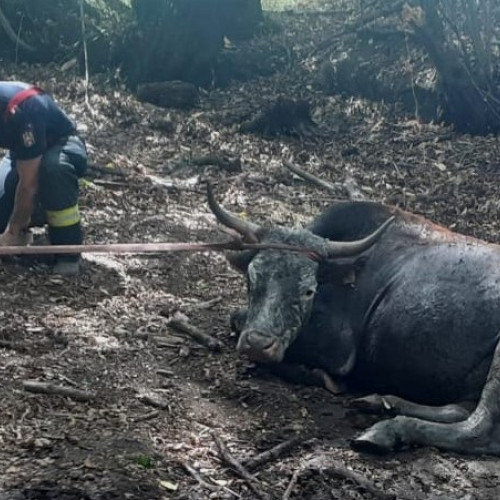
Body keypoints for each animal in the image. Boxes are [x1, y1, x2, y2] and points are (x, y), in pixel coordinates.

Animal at [207, 172, 500, 458]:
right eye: (252, 277)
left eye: (308, 290)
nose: (257, 345)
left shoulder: (338, 351)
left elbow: (239, 319)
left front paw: (321, 377)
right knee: (460, 409)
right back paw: (381, 402)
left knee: (480, 430)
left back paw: (385, 431)